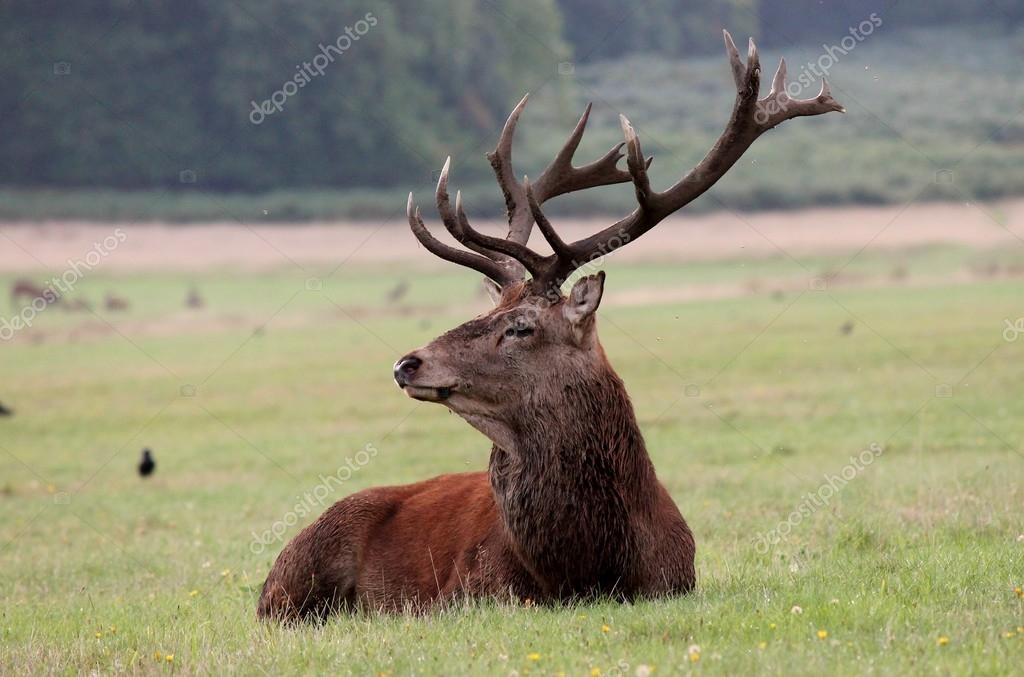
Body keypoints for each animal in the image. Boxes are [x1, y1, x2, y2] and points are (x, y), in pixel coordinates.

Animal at [258, 31, 844, 622]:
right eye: (484, 313)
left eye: (520, 326)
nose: (407, 362)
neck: (586, 569)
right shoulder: (470, 594)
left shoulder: (677, 581)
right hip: (296, 580)